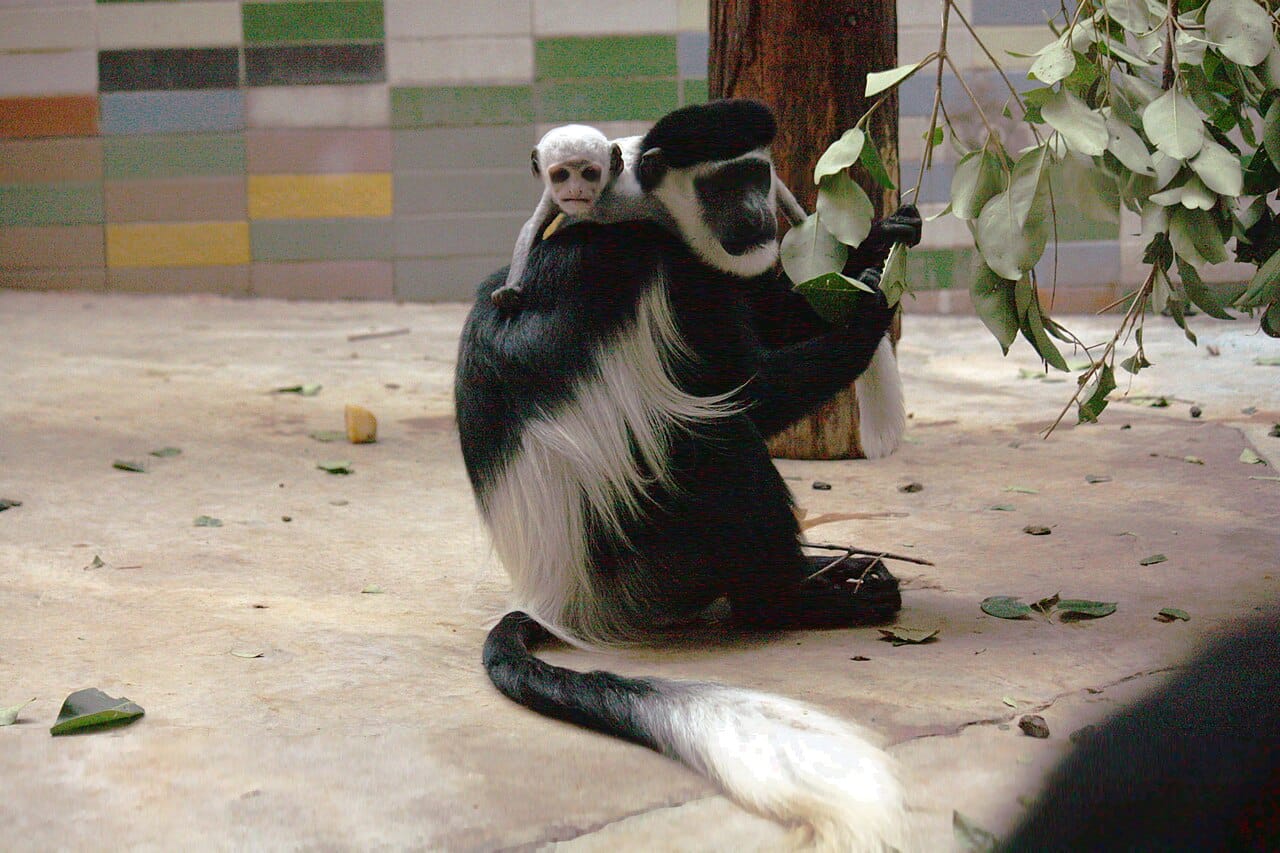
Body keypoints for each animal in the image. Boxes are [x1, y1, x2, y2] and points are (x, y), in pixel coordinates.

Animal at [455, 99, 922, 849]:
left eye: (756, 175)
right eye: (722, 185)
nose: (759, 216)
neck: (650, 215)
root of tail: (561, 595)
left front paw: (882, 241)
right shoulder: (677, 276)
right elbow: (747, 390)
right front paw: (869, 308)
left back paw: (832, 571)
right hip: (652, 551)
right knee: (710, 439)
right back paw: (798, 601)